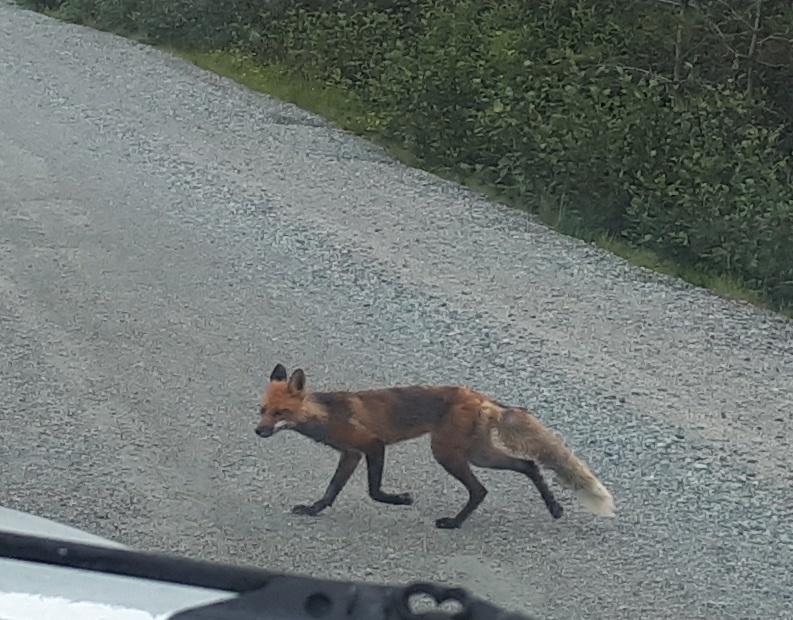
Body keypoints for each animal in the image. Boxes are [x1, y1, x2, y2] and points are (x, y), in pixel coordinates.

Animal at [255, 363, 616, 529]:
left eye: (280, 413)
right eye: (262, 410)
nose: (258, 431)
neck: (327, 415)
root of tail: (482, 397)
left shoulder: (371, 445)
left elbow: (374, 490)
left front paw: (400, 500)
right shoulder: (350, 454)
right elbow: (331, 491)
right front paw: (313, 509)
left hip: (447, 453)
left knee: (482, 489)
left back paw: (454, 524)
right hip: (477, 454)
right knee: (529, 465)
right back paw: (553, 508)